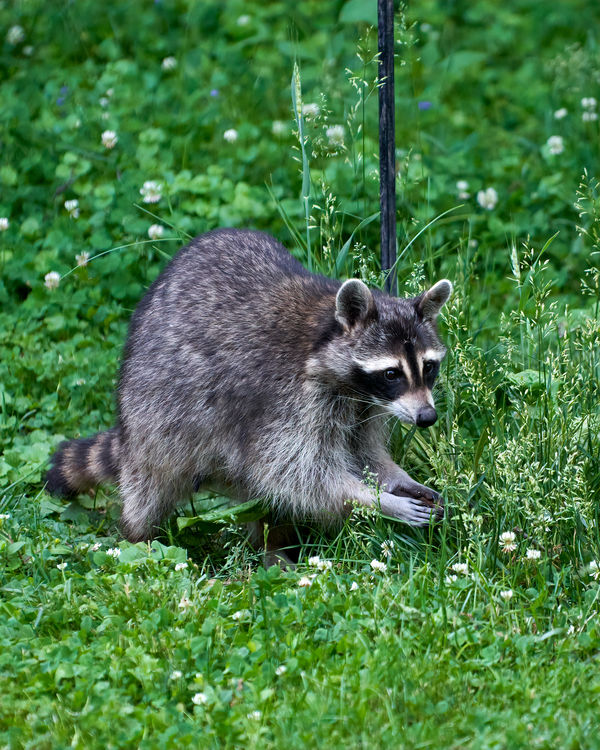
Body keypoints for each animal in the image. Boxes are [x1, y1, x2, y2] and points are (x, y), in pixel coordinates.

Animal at [47, 229, 451, 557]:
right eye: (392, 373)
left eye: (429, 367)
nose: (427, 418)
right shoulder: (287, 403)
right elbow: (301, 477)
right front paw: (379, 501)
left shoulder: (364, 407)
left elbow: (363, 453)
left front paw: (397, 480)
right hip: (152, 411)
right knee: (152, 483)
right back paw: (141, 535)